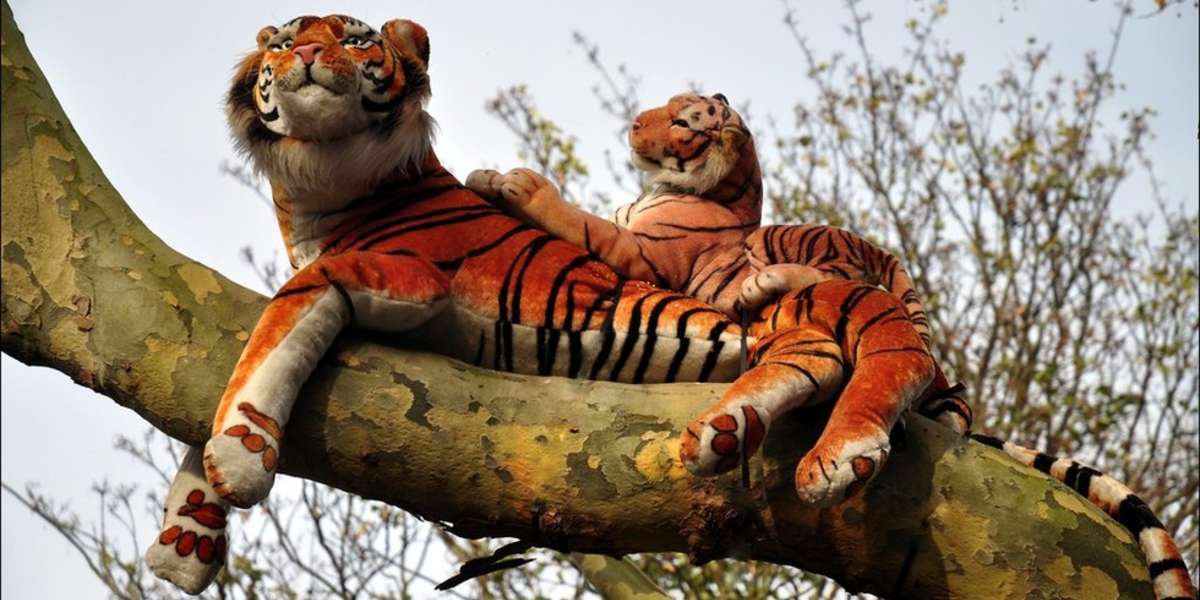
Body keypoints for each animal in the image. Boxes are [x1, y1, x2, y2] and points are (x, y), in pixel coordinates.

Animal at [144, 15, 748, 594]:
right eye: (285, 43)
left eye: (356, 40)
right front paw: (187, 540)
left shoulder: (403, 277)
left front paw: (240, 457)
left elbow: (268, 342)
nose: (309, 51)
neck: (320, 181)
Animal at [468, 94, 1196, 599]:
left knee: (878, 345)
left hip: (843, 281)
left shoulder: (641, 252)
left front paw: (508, 180)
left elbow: (579, 218)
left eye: (682, 119)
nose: (637, 124)